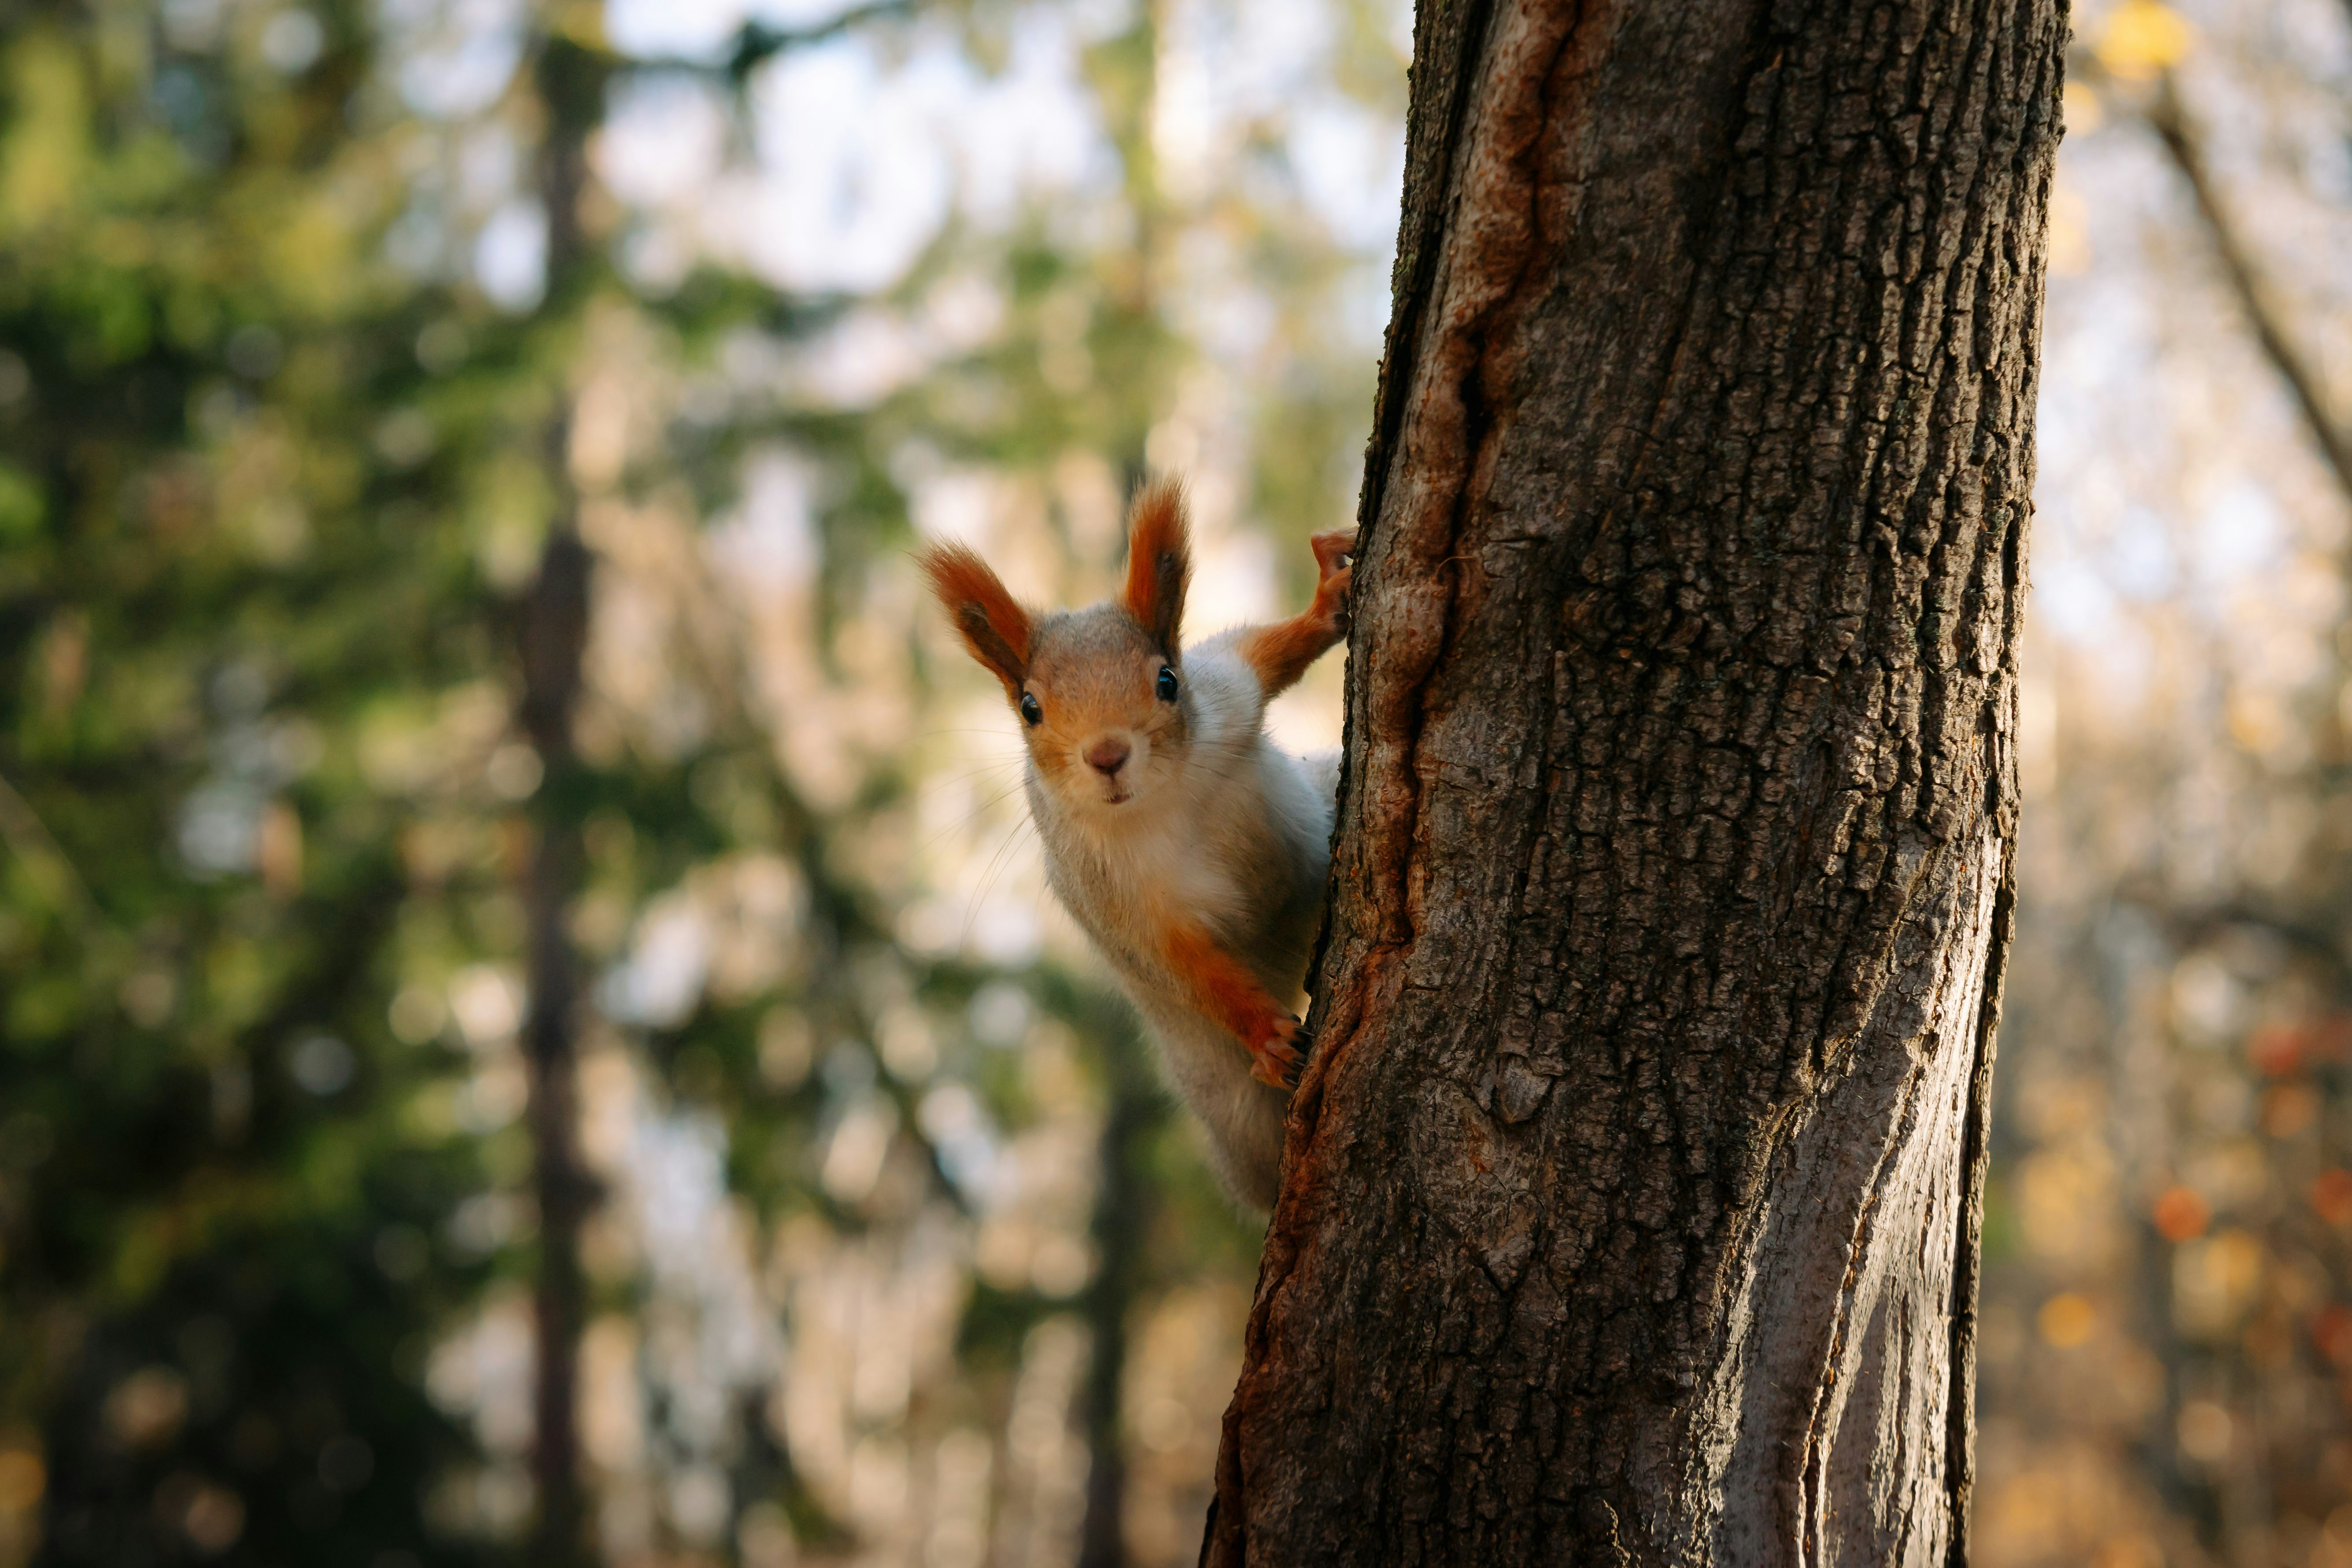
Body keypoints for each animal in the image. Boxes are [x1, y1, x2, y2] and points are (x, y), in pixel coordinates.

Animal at [917, 477, 1354, 1211]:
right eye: (1029, 708)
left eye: (1167, 681)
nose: (1107, 755)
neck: (1161, 804)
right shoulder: (1116, 902)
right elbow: (1187, 968)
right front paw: (1267, 1035)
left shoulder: (1228, 699)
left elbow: (1266, 657)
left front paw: (1325, 604)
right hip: (1221, 1091)